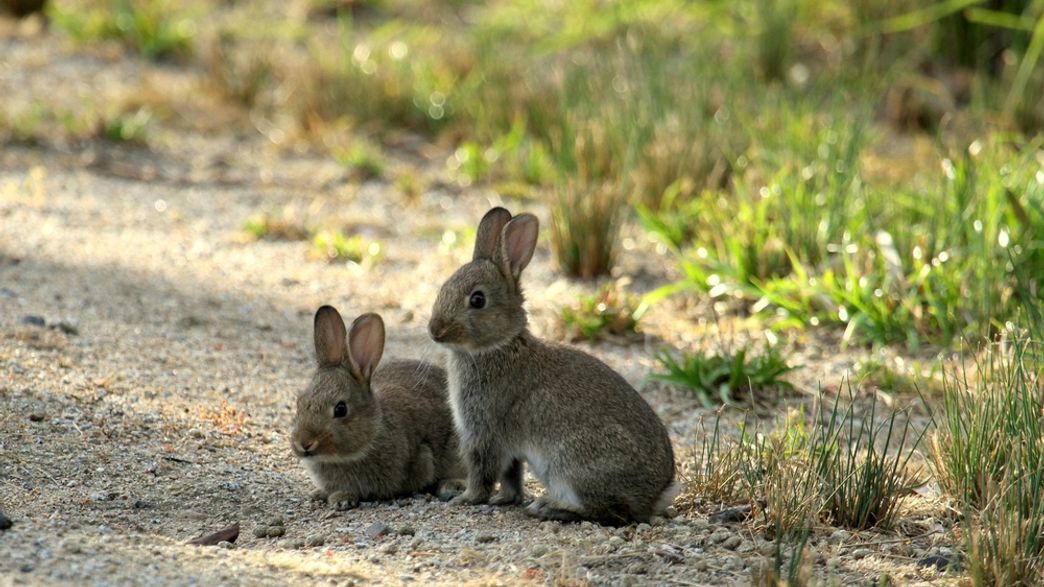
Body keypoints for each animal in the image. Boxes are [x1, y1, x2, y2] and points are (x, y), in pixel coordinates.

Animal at [427, 207, 678, 525]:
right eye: (444, 287)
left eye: (477, 299)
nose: (434, 331)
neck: (499, 345)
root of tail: (658, 493)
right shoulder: (507, 447)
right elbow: (511, 476)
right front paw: (504, 499)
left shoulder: (484, 431)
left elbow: (483, 472)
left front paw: (466, 499)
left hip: (571, 465)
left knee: (610, 511)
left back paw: (548, 507)